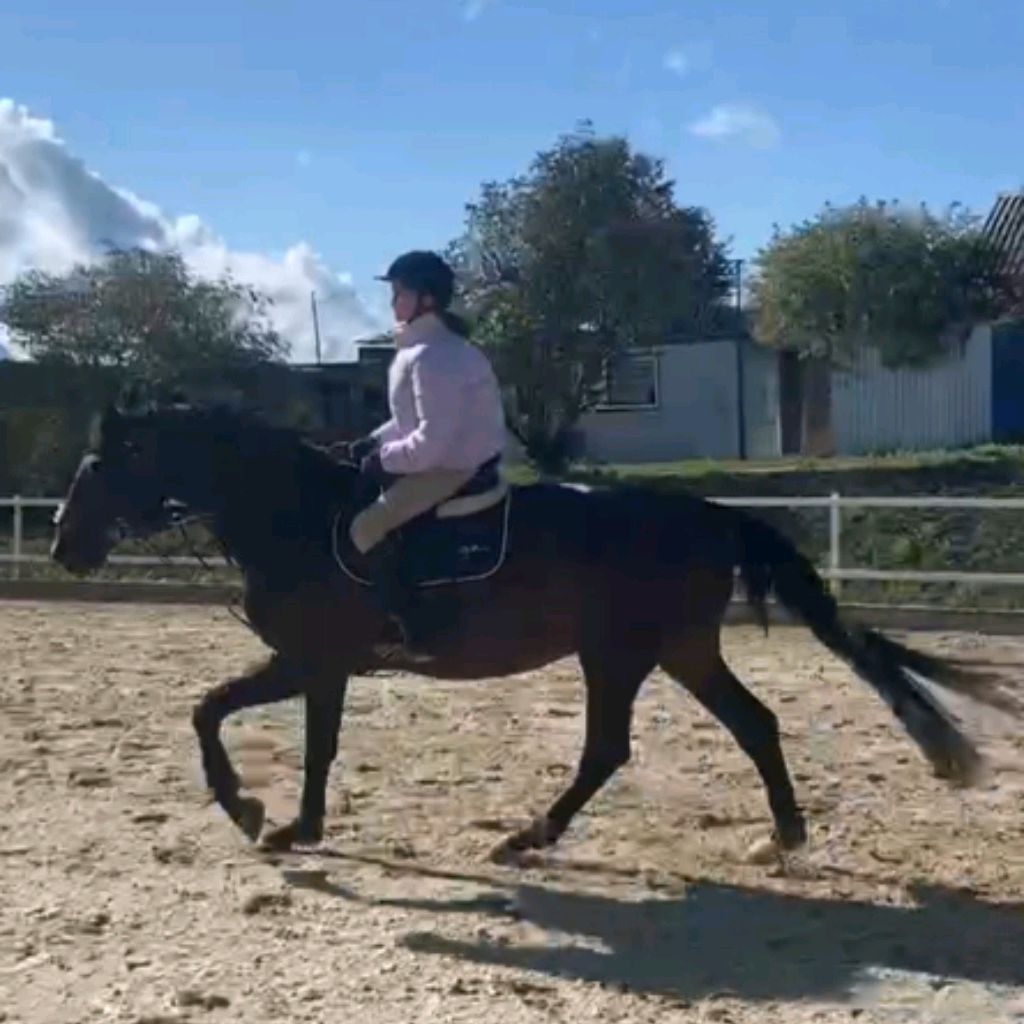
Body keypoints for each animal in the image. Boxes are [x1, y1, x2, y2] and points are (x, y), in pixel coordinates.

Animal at [49, 402, 1017, 864]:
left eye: (99, 465)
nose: (62, 546)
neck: (295, 514)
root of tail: (706, 512)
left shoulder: (309, 659)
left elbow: (210, 711)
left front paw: (255, 813)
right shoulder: (325, 667)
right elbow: (303, 742)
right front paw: (294, 825)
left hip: (621, 654)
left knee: (612, 748)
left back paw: (529, 837)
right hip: (675, 651)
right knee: (752, 725)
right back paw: (777, 838)